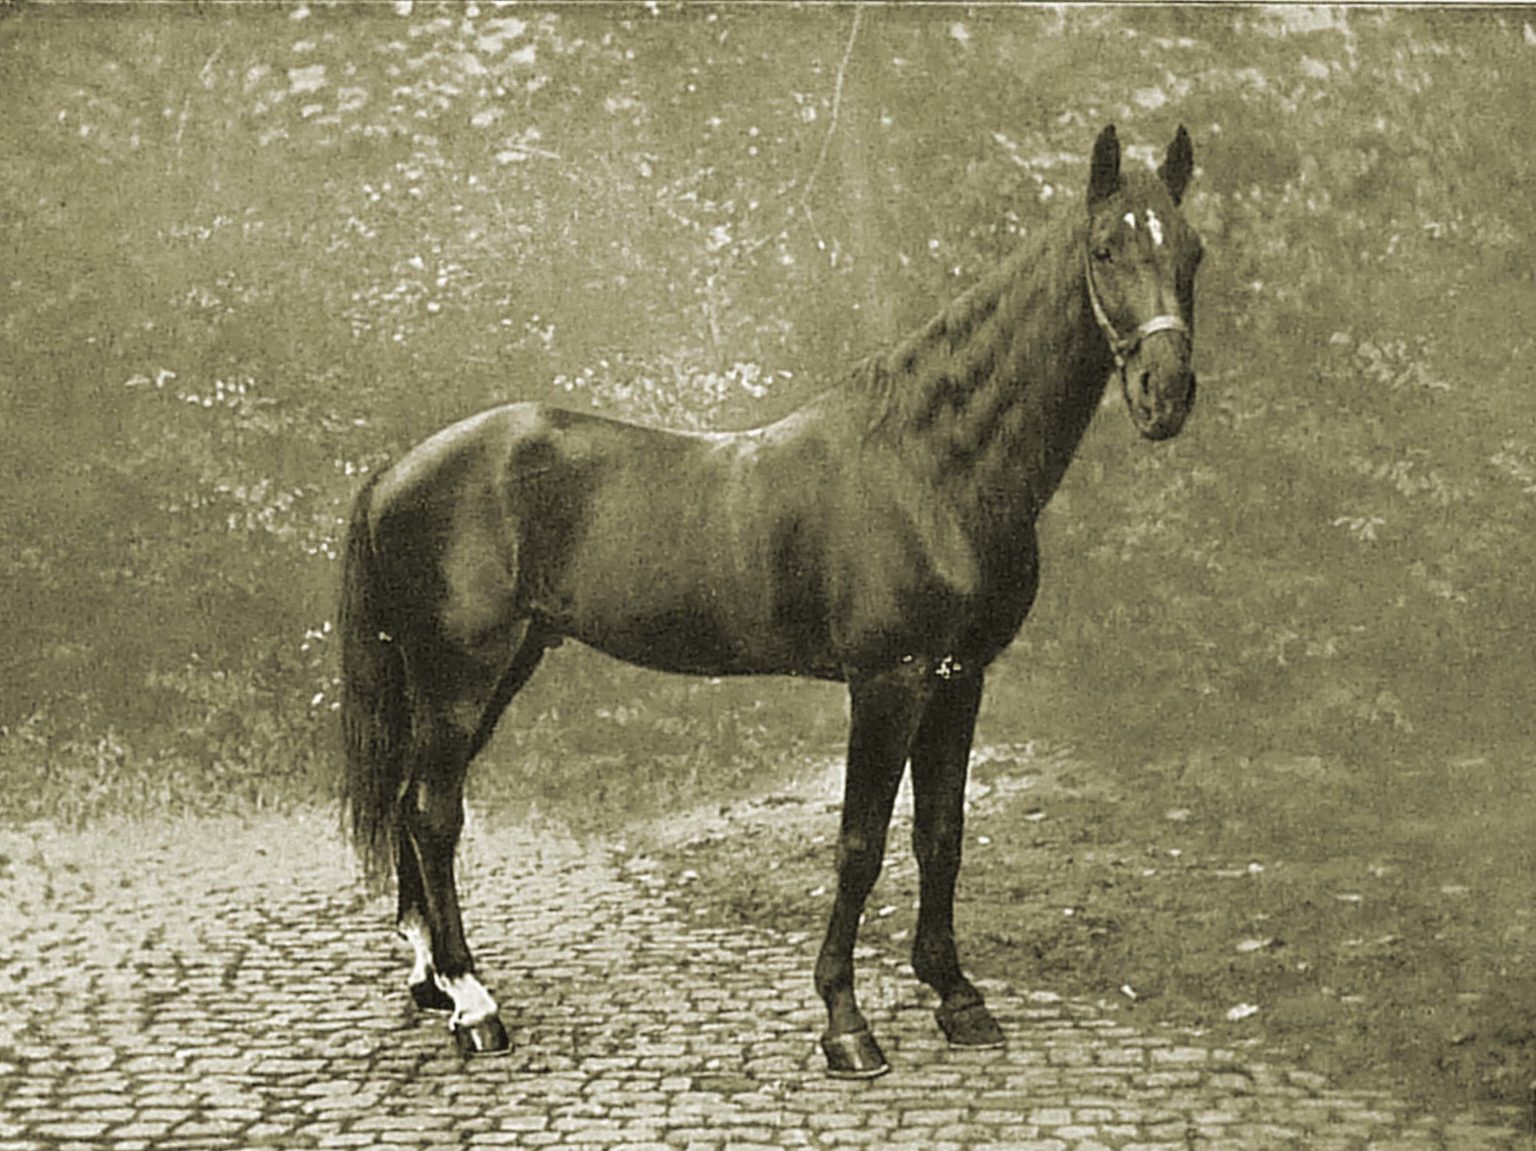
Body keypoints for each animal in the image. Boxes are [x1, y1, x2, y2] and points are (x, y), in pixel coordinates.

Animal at [340, 124, 1202, 1078]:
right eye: (1106, 248)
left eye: (1192, 252)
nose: (1166, 394)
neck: (933, 470)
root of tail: (397, 469)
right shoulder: (888, 679)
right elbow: (861, 843)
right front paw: (846, 1022)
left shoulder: (960, 676)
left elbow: (941, 833)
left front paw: (957, 996)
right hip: (460, 674)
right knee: (434, 813)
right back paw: (475, 1004)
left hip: (494, 670)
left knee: (414, 805)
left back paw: (432, 983)